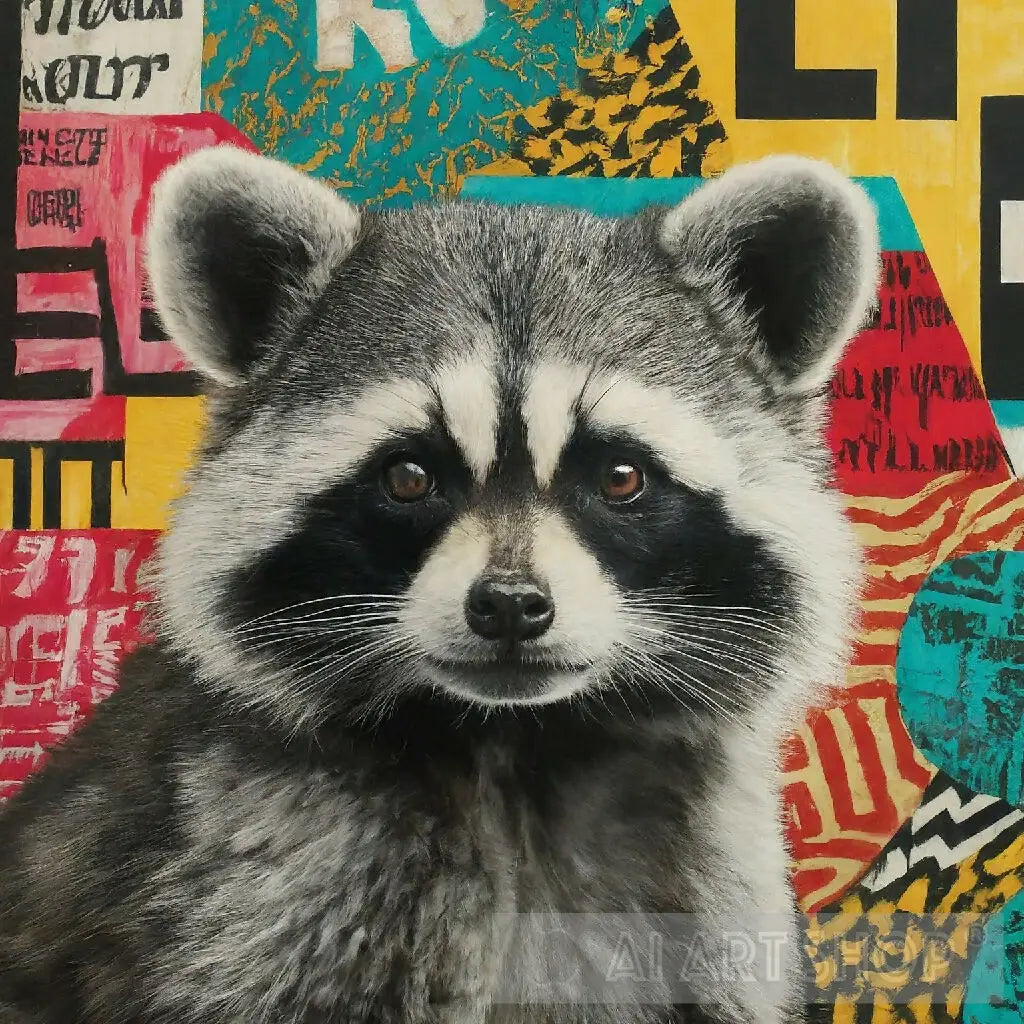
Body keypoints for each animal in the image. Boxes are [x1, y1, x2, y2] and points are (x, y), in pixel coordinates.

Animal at [0, 148, 878, 1024]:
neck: (516, 740)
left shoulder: (715, 886)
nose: (511, 606)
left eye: (622, 477)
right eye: (409, 477)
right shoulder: (236, 883)